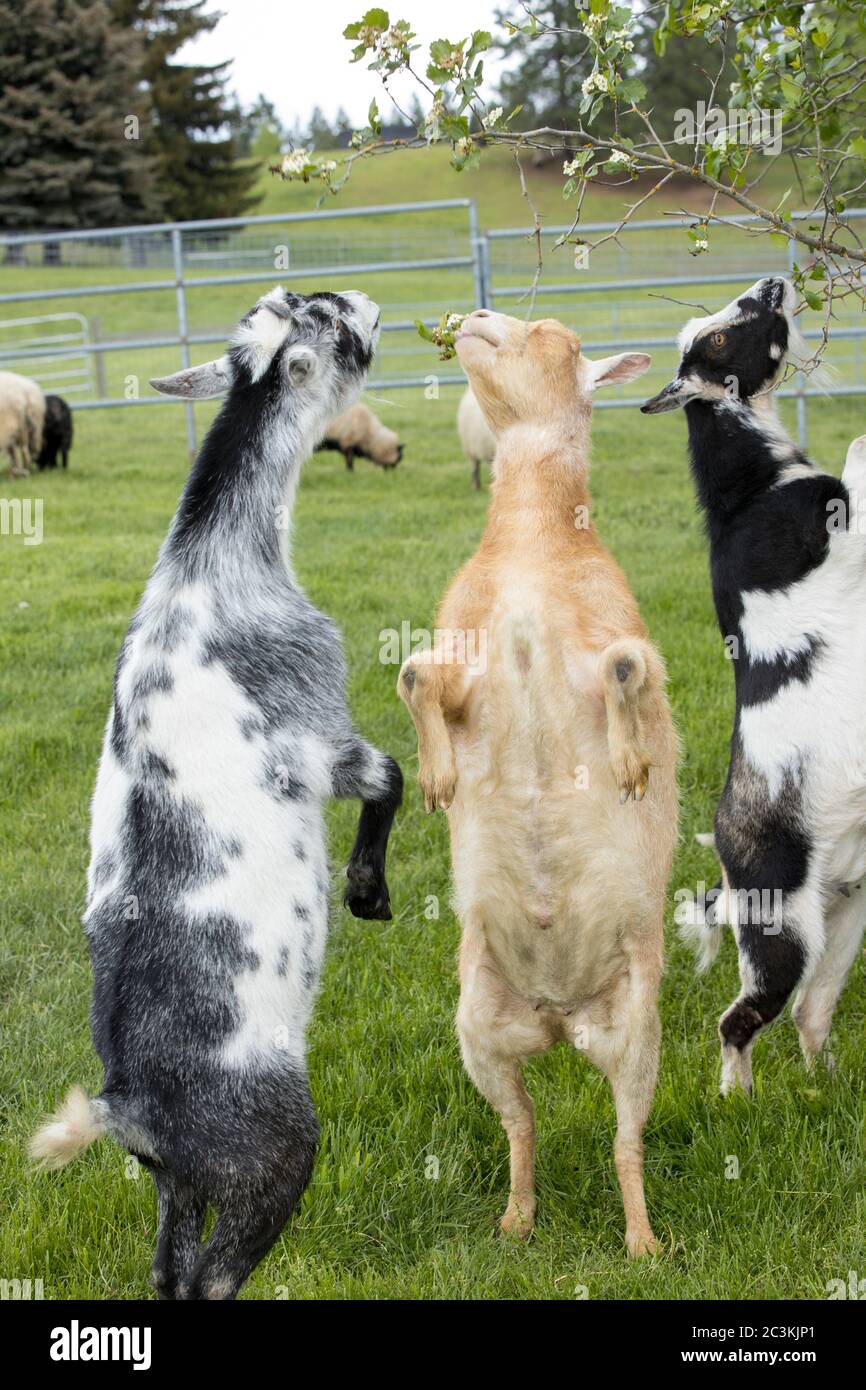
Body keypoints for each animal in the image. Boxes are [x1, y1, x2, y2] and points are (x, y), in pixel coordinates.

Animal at [30, 287, 403, 1300]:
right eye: (327, 319)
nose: (369, 302)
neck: (212, 561)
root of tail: (127, 1108)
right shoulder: (318, 731)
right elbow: (392, 778)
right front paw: (367, 894)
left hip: (178, 1184)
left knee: (169, 1274)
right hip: (271, 1153)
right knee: (210, 1280)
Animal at [398, 309, 678, 1256]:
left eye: (554, 332)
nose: (475, 319)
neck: (529, 549)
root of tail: (559, 1014)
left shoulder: (618, 646)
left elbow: (630, 667)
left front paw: (630, 764)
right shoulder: (462, 663)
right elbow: (414, 675)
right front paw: (439, 779)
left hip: (638, 1030)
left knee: (627, 1141)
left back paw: (643, 1243)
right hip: (477, 1027)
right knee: (520, 1123)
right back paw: (516, 1218)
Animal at [642, 274, 866, 1095]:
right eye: (715, 337)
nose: (772, 283)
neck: (752, 488)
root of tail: (729, 872)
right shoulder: (838, 529)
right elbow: (857, 465)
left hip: (842, 921)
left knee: (810, 1014)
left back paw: (825, 1083)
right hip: (782, 935)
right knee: (736, 1020)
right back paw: (734, 1099)